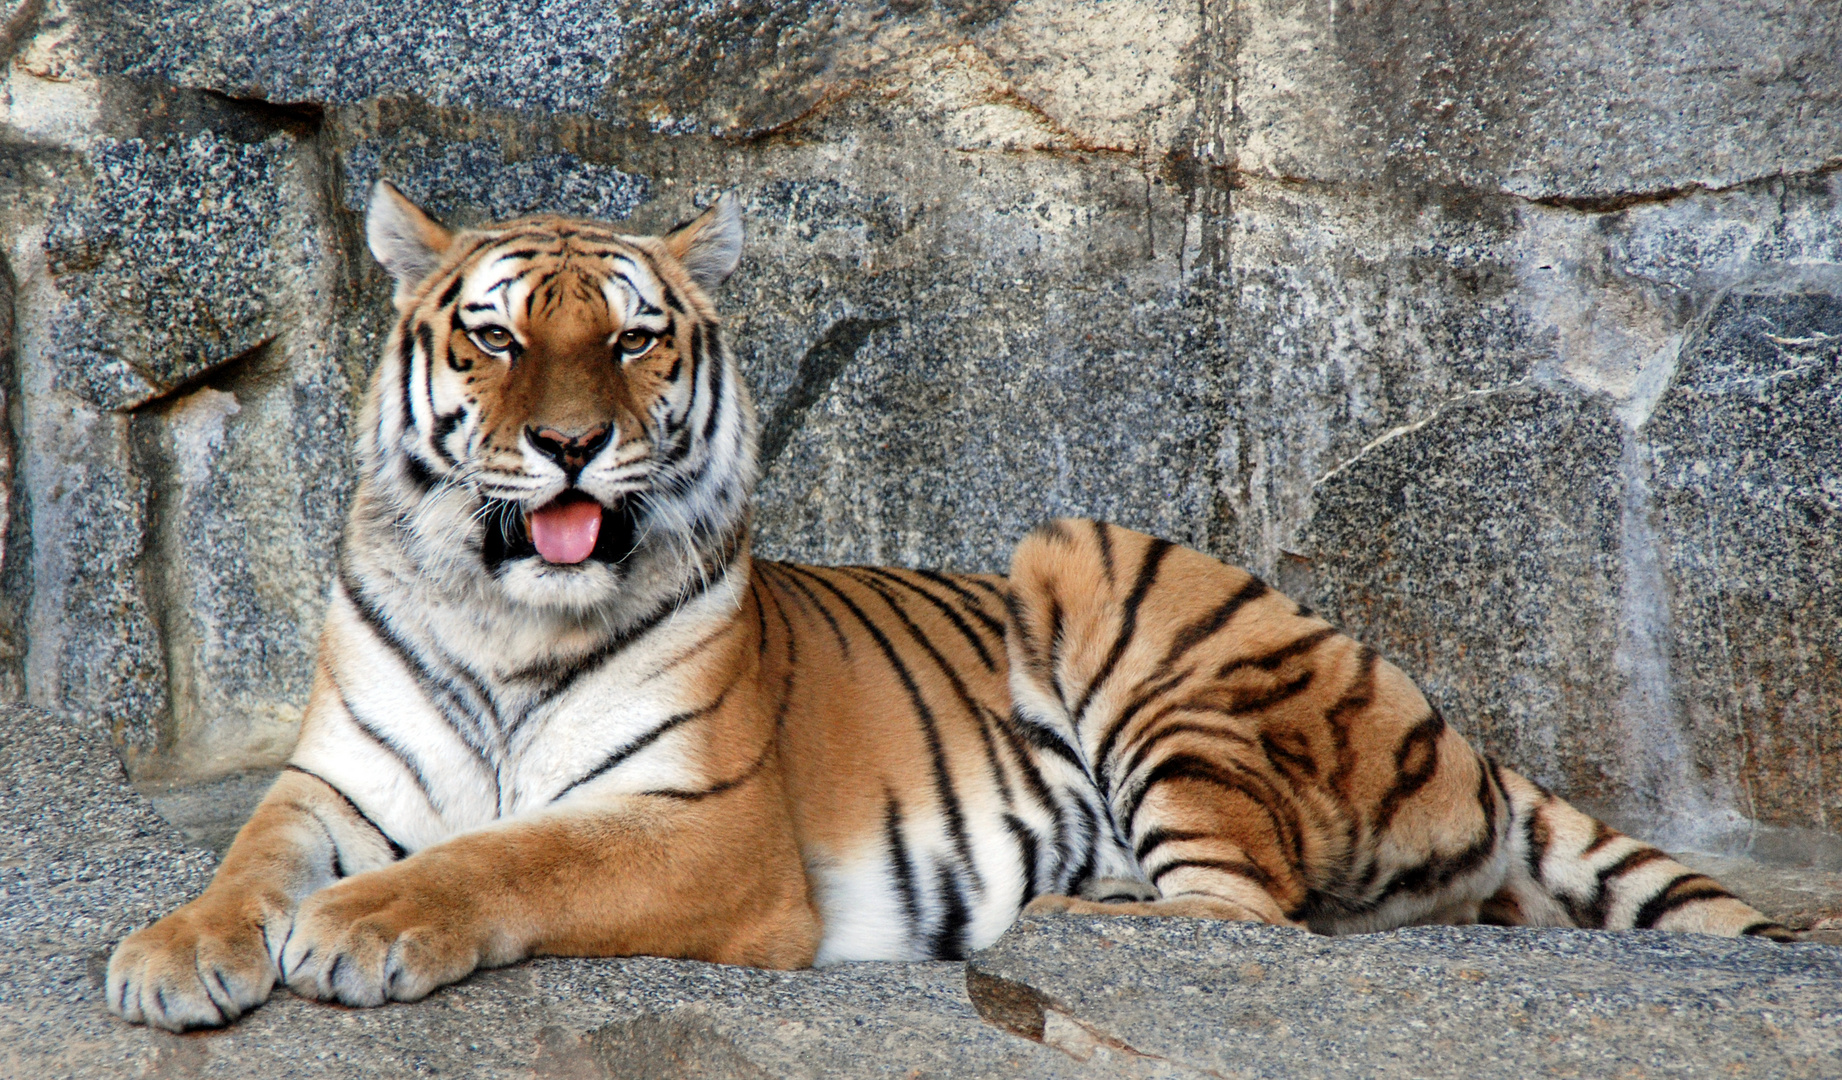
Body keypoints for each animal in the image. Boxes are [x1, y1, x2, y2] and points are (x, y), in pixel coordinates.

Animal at [105, 181, 1793, 1032]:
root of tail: (1459, 728)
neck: (507, 610)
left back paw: (1044, 920)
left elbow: (513, 857)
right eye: (499, 337)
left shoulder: (704, 831)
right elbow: (250, 857)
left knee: (1248, 914)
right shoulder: (338, 778)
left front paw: (364, 928)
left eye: (635, 341)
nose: (574, 443)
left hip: (1100, 572)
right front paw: (175, 955)